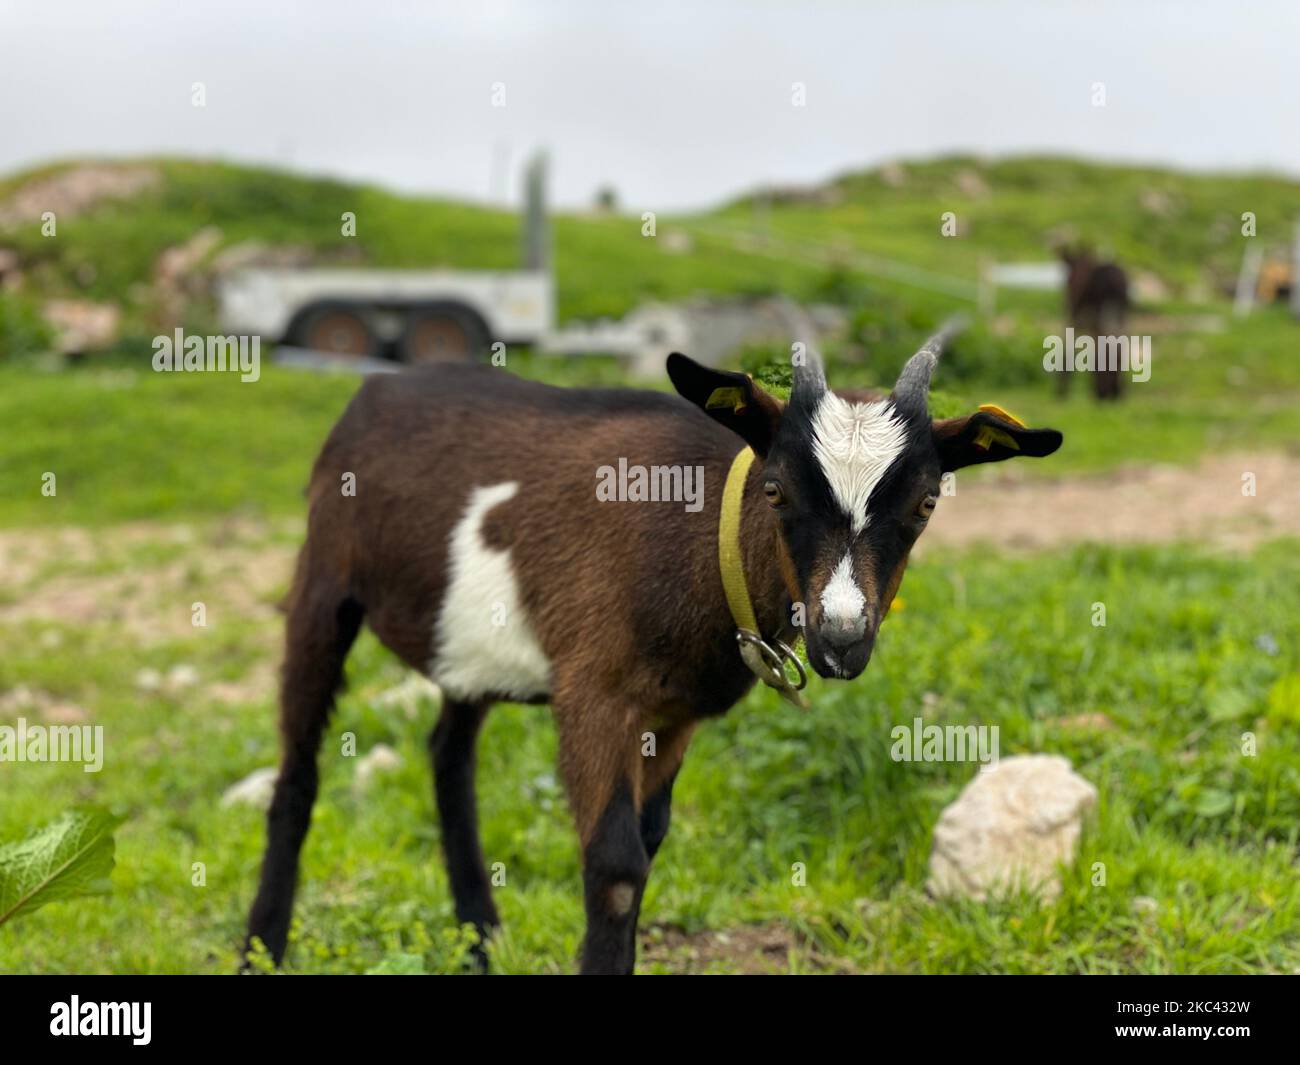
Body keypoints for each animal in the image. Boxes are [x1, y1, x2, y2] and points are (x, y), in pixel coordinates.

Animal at [244, 331, 1063, 974]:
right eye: (776, 489)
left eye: (925, 503)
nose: (840, 636)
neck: (696, 536)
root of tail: (375, 388)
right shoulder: (594, 694)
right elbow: (614, 866)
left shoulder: (672, 716)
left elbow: (651, 838)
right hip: (322, 584)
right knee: (299, 776)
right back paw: (261, 951)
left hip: (464, 649)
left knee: (449, 753)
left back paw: (478, 942)